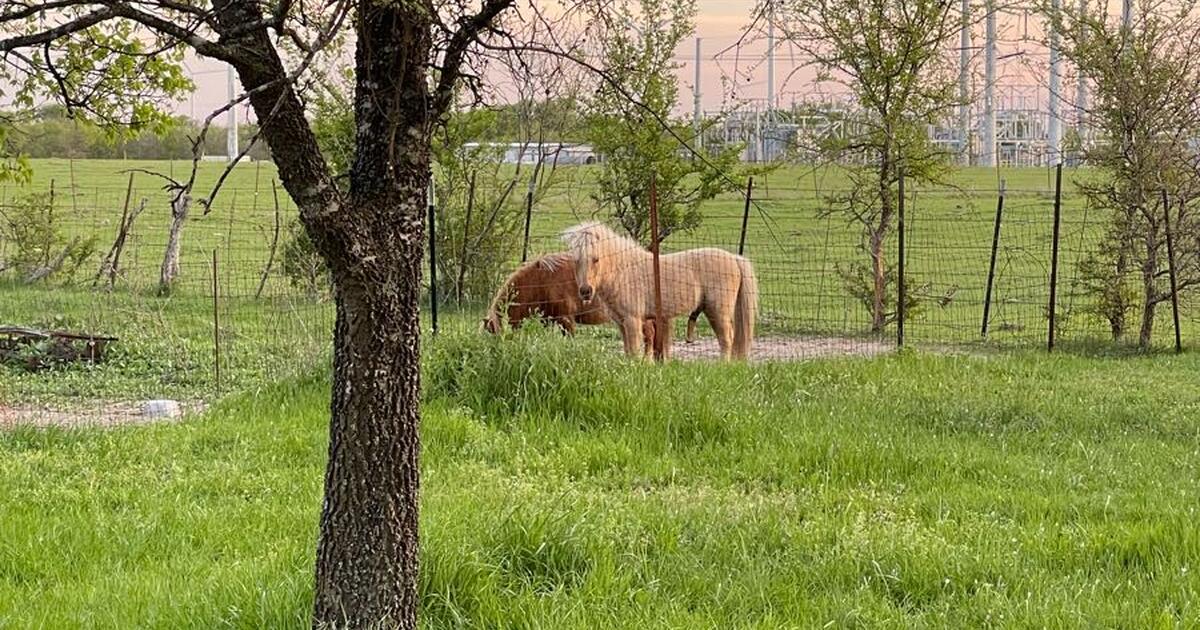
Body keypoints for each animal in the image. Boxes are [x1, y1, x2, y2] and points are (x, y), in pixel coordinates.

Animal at [561, 221, 758, 360]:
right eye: (576, 260)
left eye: (596, 259)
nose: (585, 291)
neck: (624, 272)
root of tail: (734, 258)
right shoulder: (621, 323)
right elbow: (628, 351)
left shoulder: (632, 320)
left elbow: (634, 351)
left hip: (717, 311)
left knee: (726, 340)